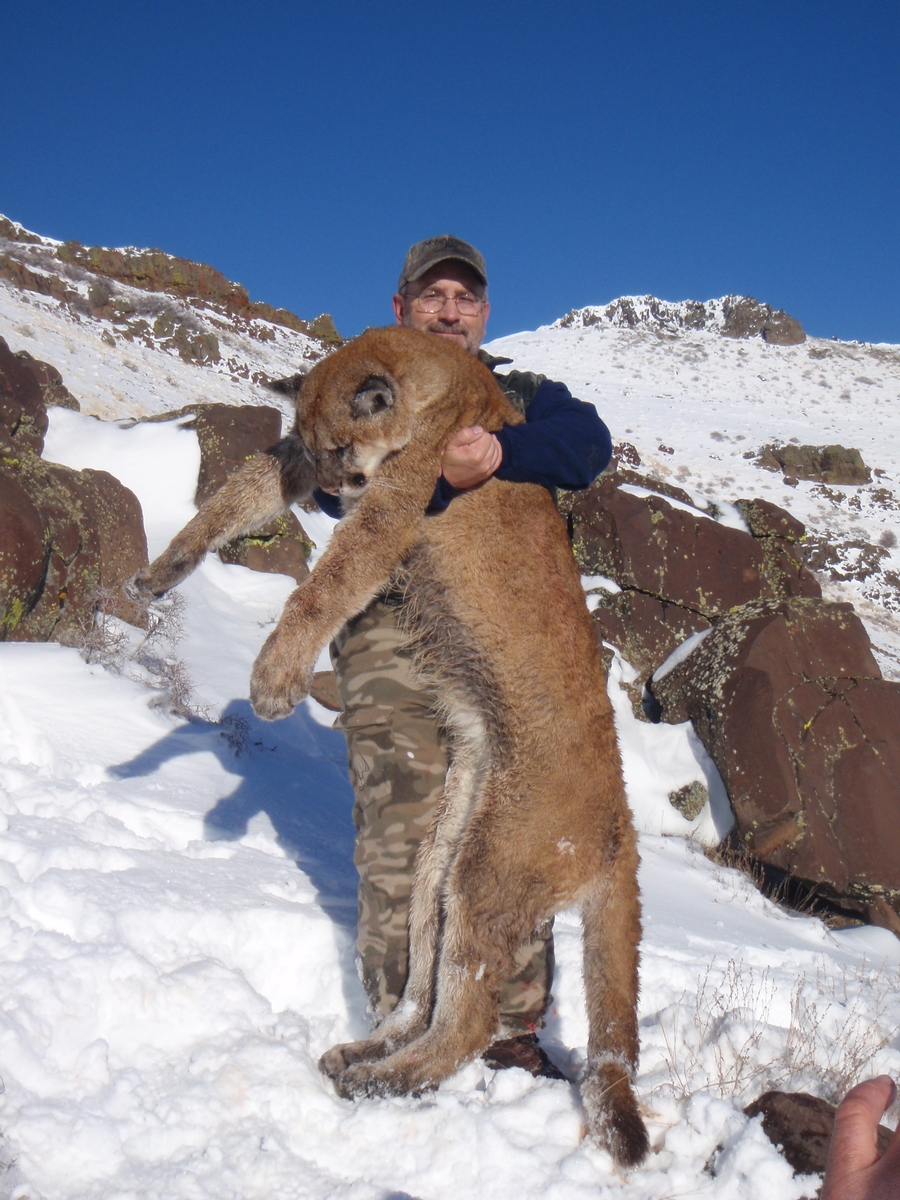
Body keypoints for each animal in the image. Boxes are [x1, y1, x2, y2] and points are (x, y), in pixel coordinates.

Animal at [130, 326, 649, 1168]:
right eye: (320, 448)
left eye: (346, 446)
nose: (332, 487)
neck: (438, 373)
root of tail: (622, 826)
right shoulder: (297, 461)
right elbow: (237, 493)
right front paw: (162, 571)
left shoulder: (402, 499)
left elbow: (326, 583)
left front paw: (273, 682)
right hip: (446, 848)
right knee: (427, 984)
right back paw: (367, 1052)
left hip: (495, 866)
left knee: (470, 1019)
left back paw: (379, 1082)